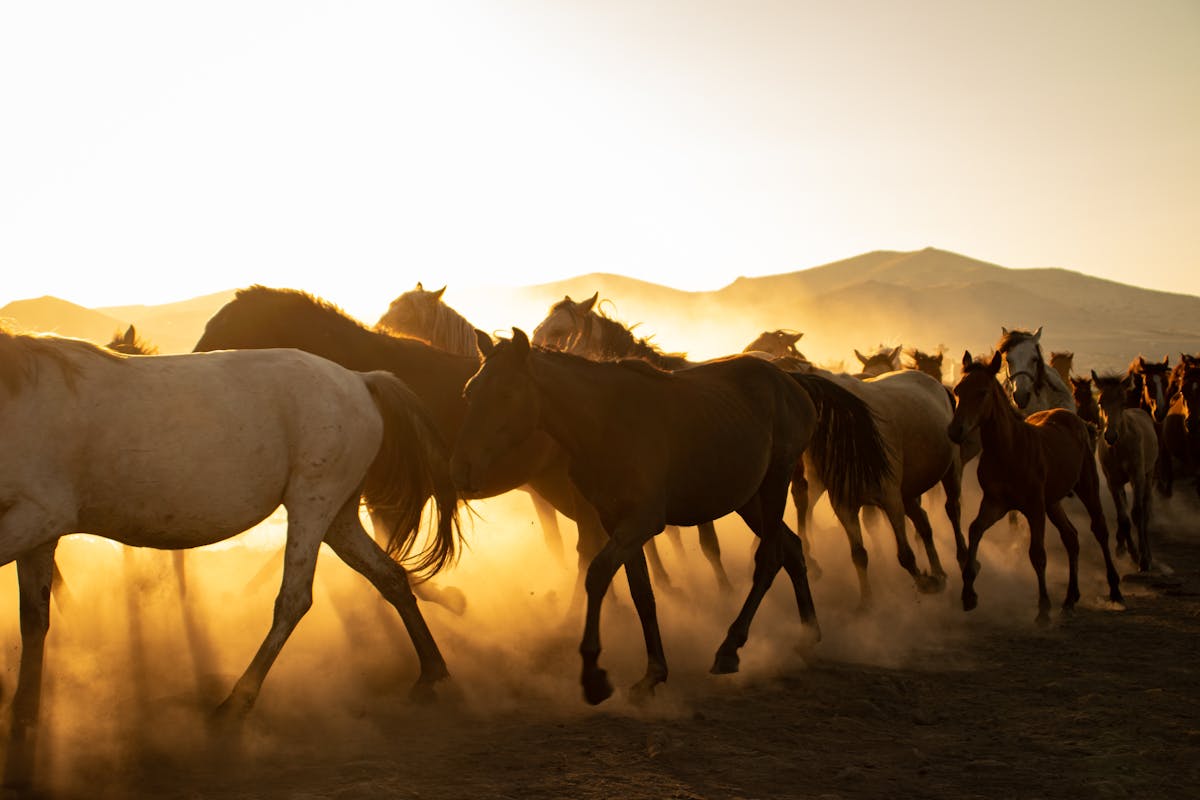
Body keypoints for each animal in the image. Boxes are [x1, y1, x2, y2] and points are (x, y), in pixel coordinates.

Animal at [0, 327, 460, 788]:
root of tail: (360, 380)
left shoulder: (38, 516)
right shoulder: (41, 536)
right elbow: (34, 620)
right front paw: (24, 720)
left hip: (313, 502)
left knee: (294, 600)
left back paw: (233, 706)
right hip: (340, 517)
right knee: (391, 577)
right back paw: (432, 675)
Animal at [451, 328, 889, 704]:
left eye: (507, 393)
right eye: (470, 391)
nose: (463, 470)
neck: (605, 422)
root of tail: (791, 381)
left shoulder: (642, 523)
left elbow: (597, 575)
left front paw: (594, 677)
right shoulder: (618, 524)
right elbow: (642, 594)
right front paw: (652, 674)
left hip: (775, 483)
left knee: (769, 558)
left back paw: (730, 648)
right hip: (747, 499)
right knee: (792, 548)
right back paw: (807, 635)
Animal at [794, 368, 966, 607]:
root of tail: (938, 384)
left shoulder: (890, 499)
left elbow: (905, 554)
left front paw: (925, 584)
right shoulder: (845, 507)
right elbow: (859, 554)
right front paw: (867, 602)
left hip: (950, 472)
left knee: (952, 510)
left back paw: (963, 562)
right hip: (908, 494)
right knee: (923, 522)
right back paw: (939, 574)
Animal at [947, 351, 1123, 622]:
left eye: (983, 392)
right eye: (958, 390)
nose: (955, 431)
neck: (1008, 450)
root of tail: (1073, 418)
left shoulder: (1034, 507)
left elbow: (1037, 554)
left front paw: (1043, 609)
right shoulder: (995, 503)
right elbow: (975, 529)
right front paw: (969, 594)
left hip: (1086, 486)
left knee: (1100, 529)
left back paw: (1114, 589)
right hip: (1053, 501)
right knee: (1071, 537)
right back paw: (1070, 599)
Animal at [1092, 372, 1158, 571]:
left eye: (1122, 402)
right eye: (1100, 402)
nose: (1110, 436)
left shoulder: (1138, 477)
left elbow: (1137, 513)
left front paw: (1144, 559)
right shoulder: (1113, 482)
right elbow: (1123, 517)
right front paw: (1133, 553)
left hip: (1148, 475)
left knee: (1145, 510)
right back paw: (1122, 546)